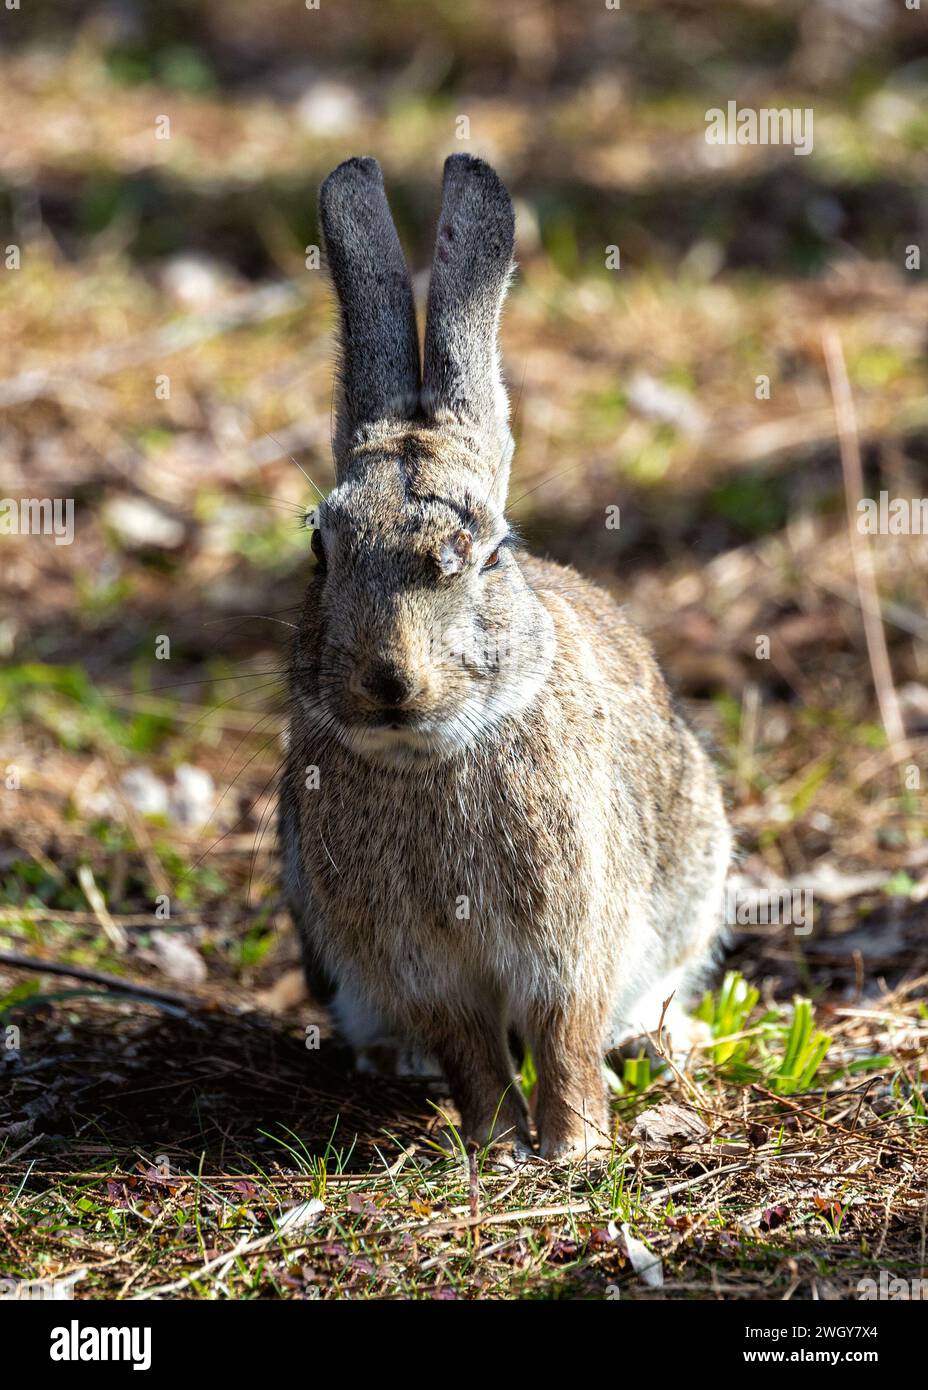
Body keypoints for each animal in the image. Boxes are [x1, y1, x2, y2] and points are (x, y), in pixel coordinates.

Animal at [280, 153, 731, 1161]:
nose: (390, 679)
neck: (431, 756)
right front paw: (495, 1147)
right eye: (322, 547)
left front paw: (575, 1147)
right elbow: (473, 1055)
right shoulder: (421, 968)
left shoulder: (570, 940)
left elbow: (564, 1036)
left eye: (490, 554)